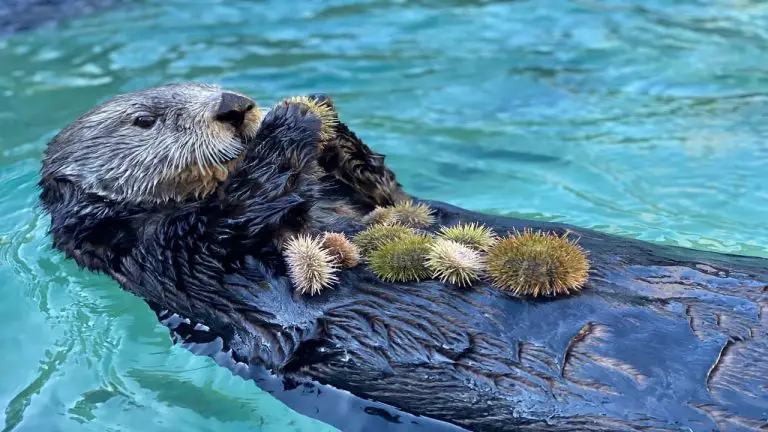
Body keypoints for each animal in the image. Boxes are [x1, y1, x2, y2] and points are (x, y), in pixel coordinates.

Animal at [39, 83, 768, 432]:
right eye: (146, 120)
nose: (234, 105)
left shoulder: (374, 204)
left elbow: (390, 193)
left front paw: (330, 126)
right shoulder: (171, 258)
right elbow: (235, 216)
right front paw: (290, 123)